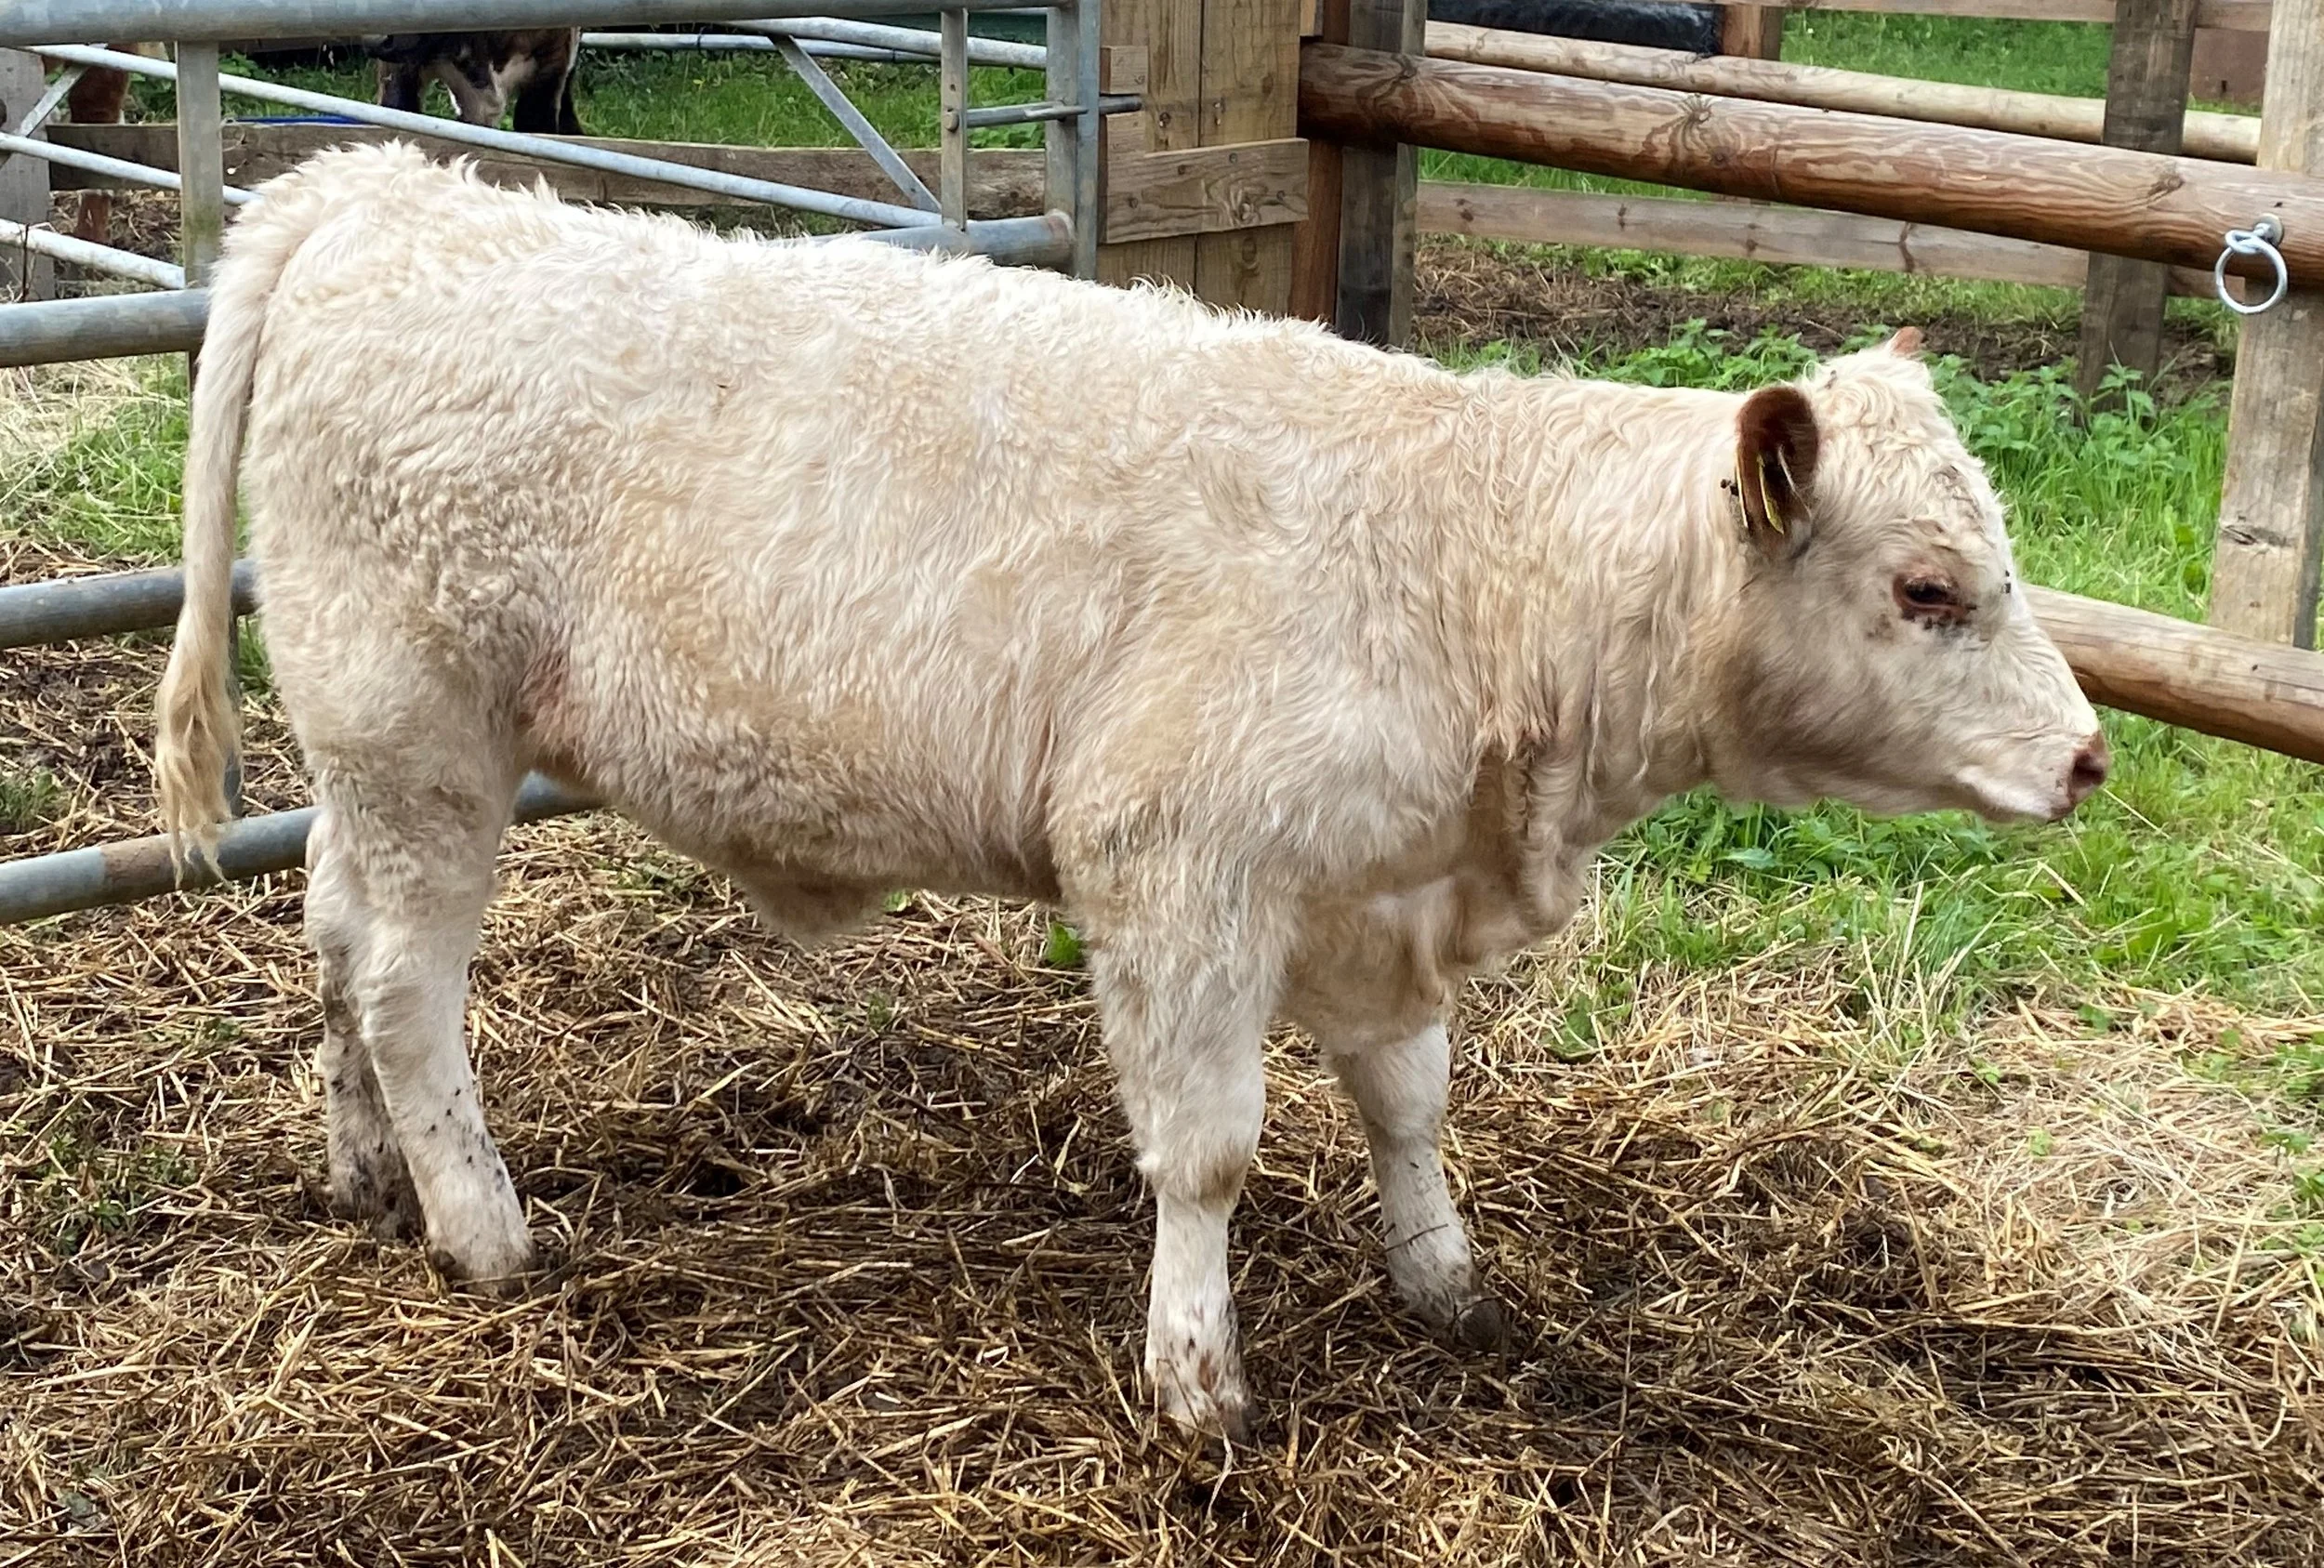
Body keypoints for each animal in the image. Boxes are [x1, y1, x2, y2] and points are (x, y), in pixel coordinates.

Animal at [154, 144, 2107, 1443]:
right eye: (1930, 586)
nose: (2091, 754)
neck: (1471, 567)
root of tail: (382, 190)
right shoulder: (1179, 868)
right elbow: (1211, 1149)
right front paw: (1196, 1377)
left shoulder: (1369, 891)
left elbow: (1410, 1099)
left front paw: (1443, 1274)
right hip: (424, 733)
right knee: (407, 987)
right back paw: (483, 1228)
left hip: (362, 759)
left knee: (328, 938)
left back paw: (362, 1171)